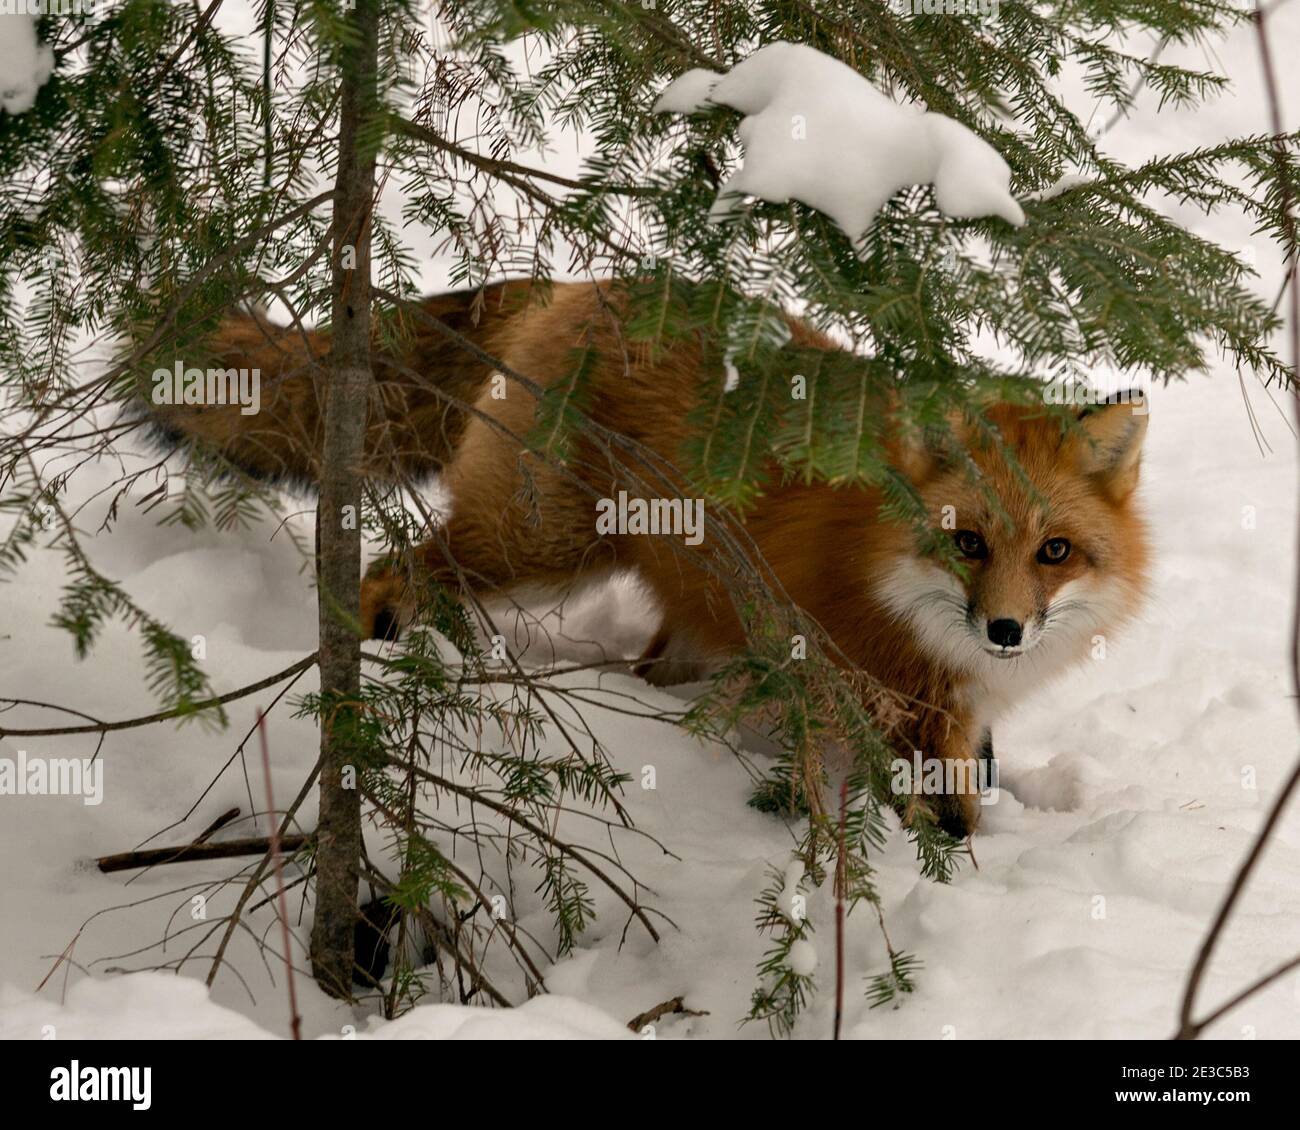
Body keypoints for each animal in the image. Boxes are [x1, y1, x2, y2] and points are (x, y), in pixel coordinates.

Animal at [144, 278, 1150, 837]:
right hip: (539, 546)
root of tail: (580, 277)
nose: (1007, 630)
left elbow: (962, 794)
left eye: (1055, 551)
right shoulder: (863, 692)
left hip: (690, 620)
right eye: (967, 542)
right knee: (394, 569)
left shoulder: (952, 715)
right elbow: (908, 810)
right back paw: (389, 660)